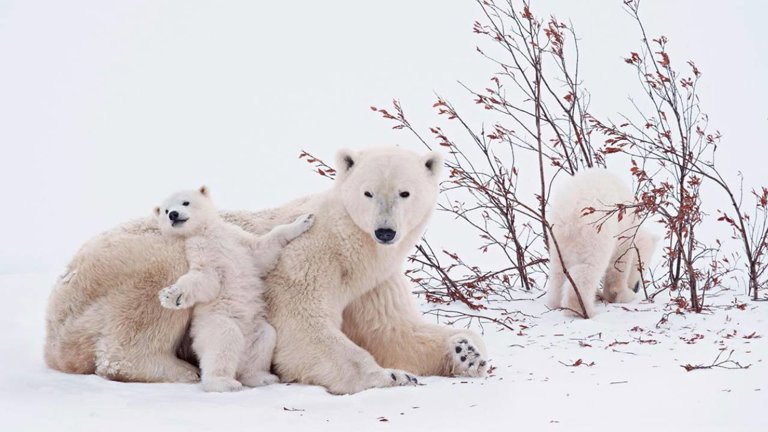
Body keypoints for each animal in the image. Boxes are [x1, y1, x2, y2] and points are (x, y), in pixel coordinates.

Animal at [154, 186, 314, 392]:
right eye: (165, 211)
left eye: (185, 202)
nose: (173, 214)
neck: (207, 233)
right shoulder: (197, 248)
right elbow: (206, 278)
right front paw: (171, 296)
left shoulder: (236, 237)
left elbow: (261, 250)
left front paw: (304, 220)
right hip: (215, 323)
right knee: (224, 341)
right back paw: (224, 383)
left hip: (255, 329)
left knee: (265, 338)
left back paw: (261, 377)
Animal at [545, 168, 659, 318]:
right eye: (642, 266)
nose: (636, 288)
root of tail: (568, 214)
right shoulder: (623, 234)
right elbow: (618, 266)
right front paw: (622, 295)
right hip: (595, 232)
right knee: (588, 268)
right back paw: (585, 310)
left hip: (557, 237)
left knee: (558, 269)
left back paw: (556, 303)